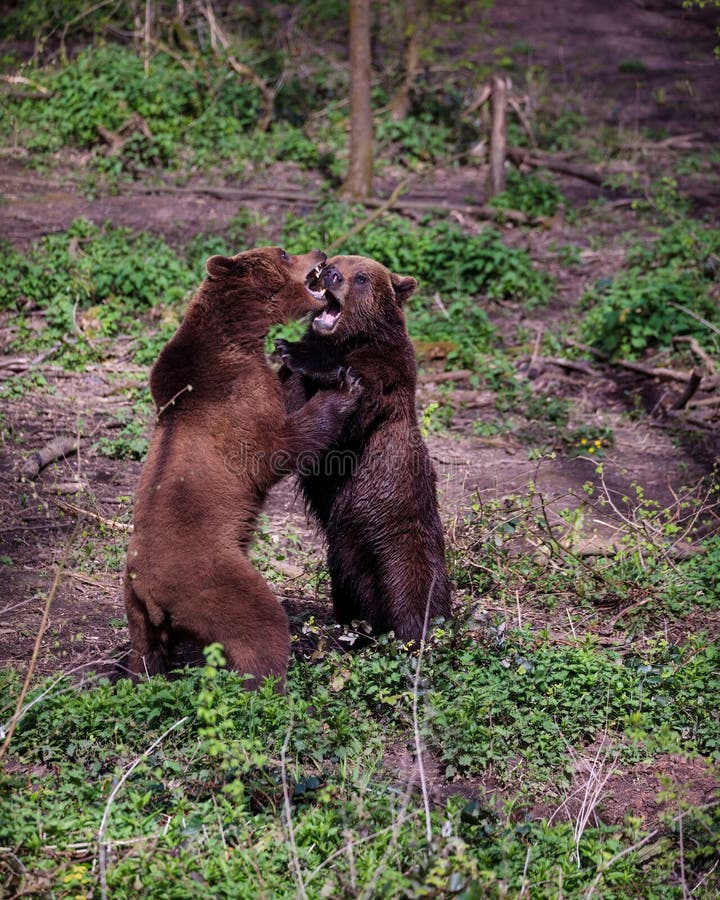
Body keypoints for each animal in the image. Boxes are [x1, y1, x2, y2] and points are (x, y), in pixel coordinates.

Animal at [124, 246, 360, 688]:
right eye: (283, 253)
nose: (319, 252)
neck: (237, 338)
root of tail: (150, 592)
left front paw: (293, 357)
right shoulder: (238, 407)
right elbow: (280, 447)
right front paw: (343, 385)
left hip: (135, 611)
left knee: (145, 656)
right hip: (215, 580)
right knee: (260, 627)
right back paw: (269, 685)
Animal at [276, 254, 451, 645]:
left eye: (360, 276)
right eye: (332, 261)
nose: (330, 274)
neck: (351, 341)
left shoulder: (386, 373)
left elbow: (349, 416)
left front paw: (295, 350)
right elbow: (290, 408)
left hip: (392, 533)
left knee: (410, 585)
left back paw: (415, 632)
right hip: (347, 551)